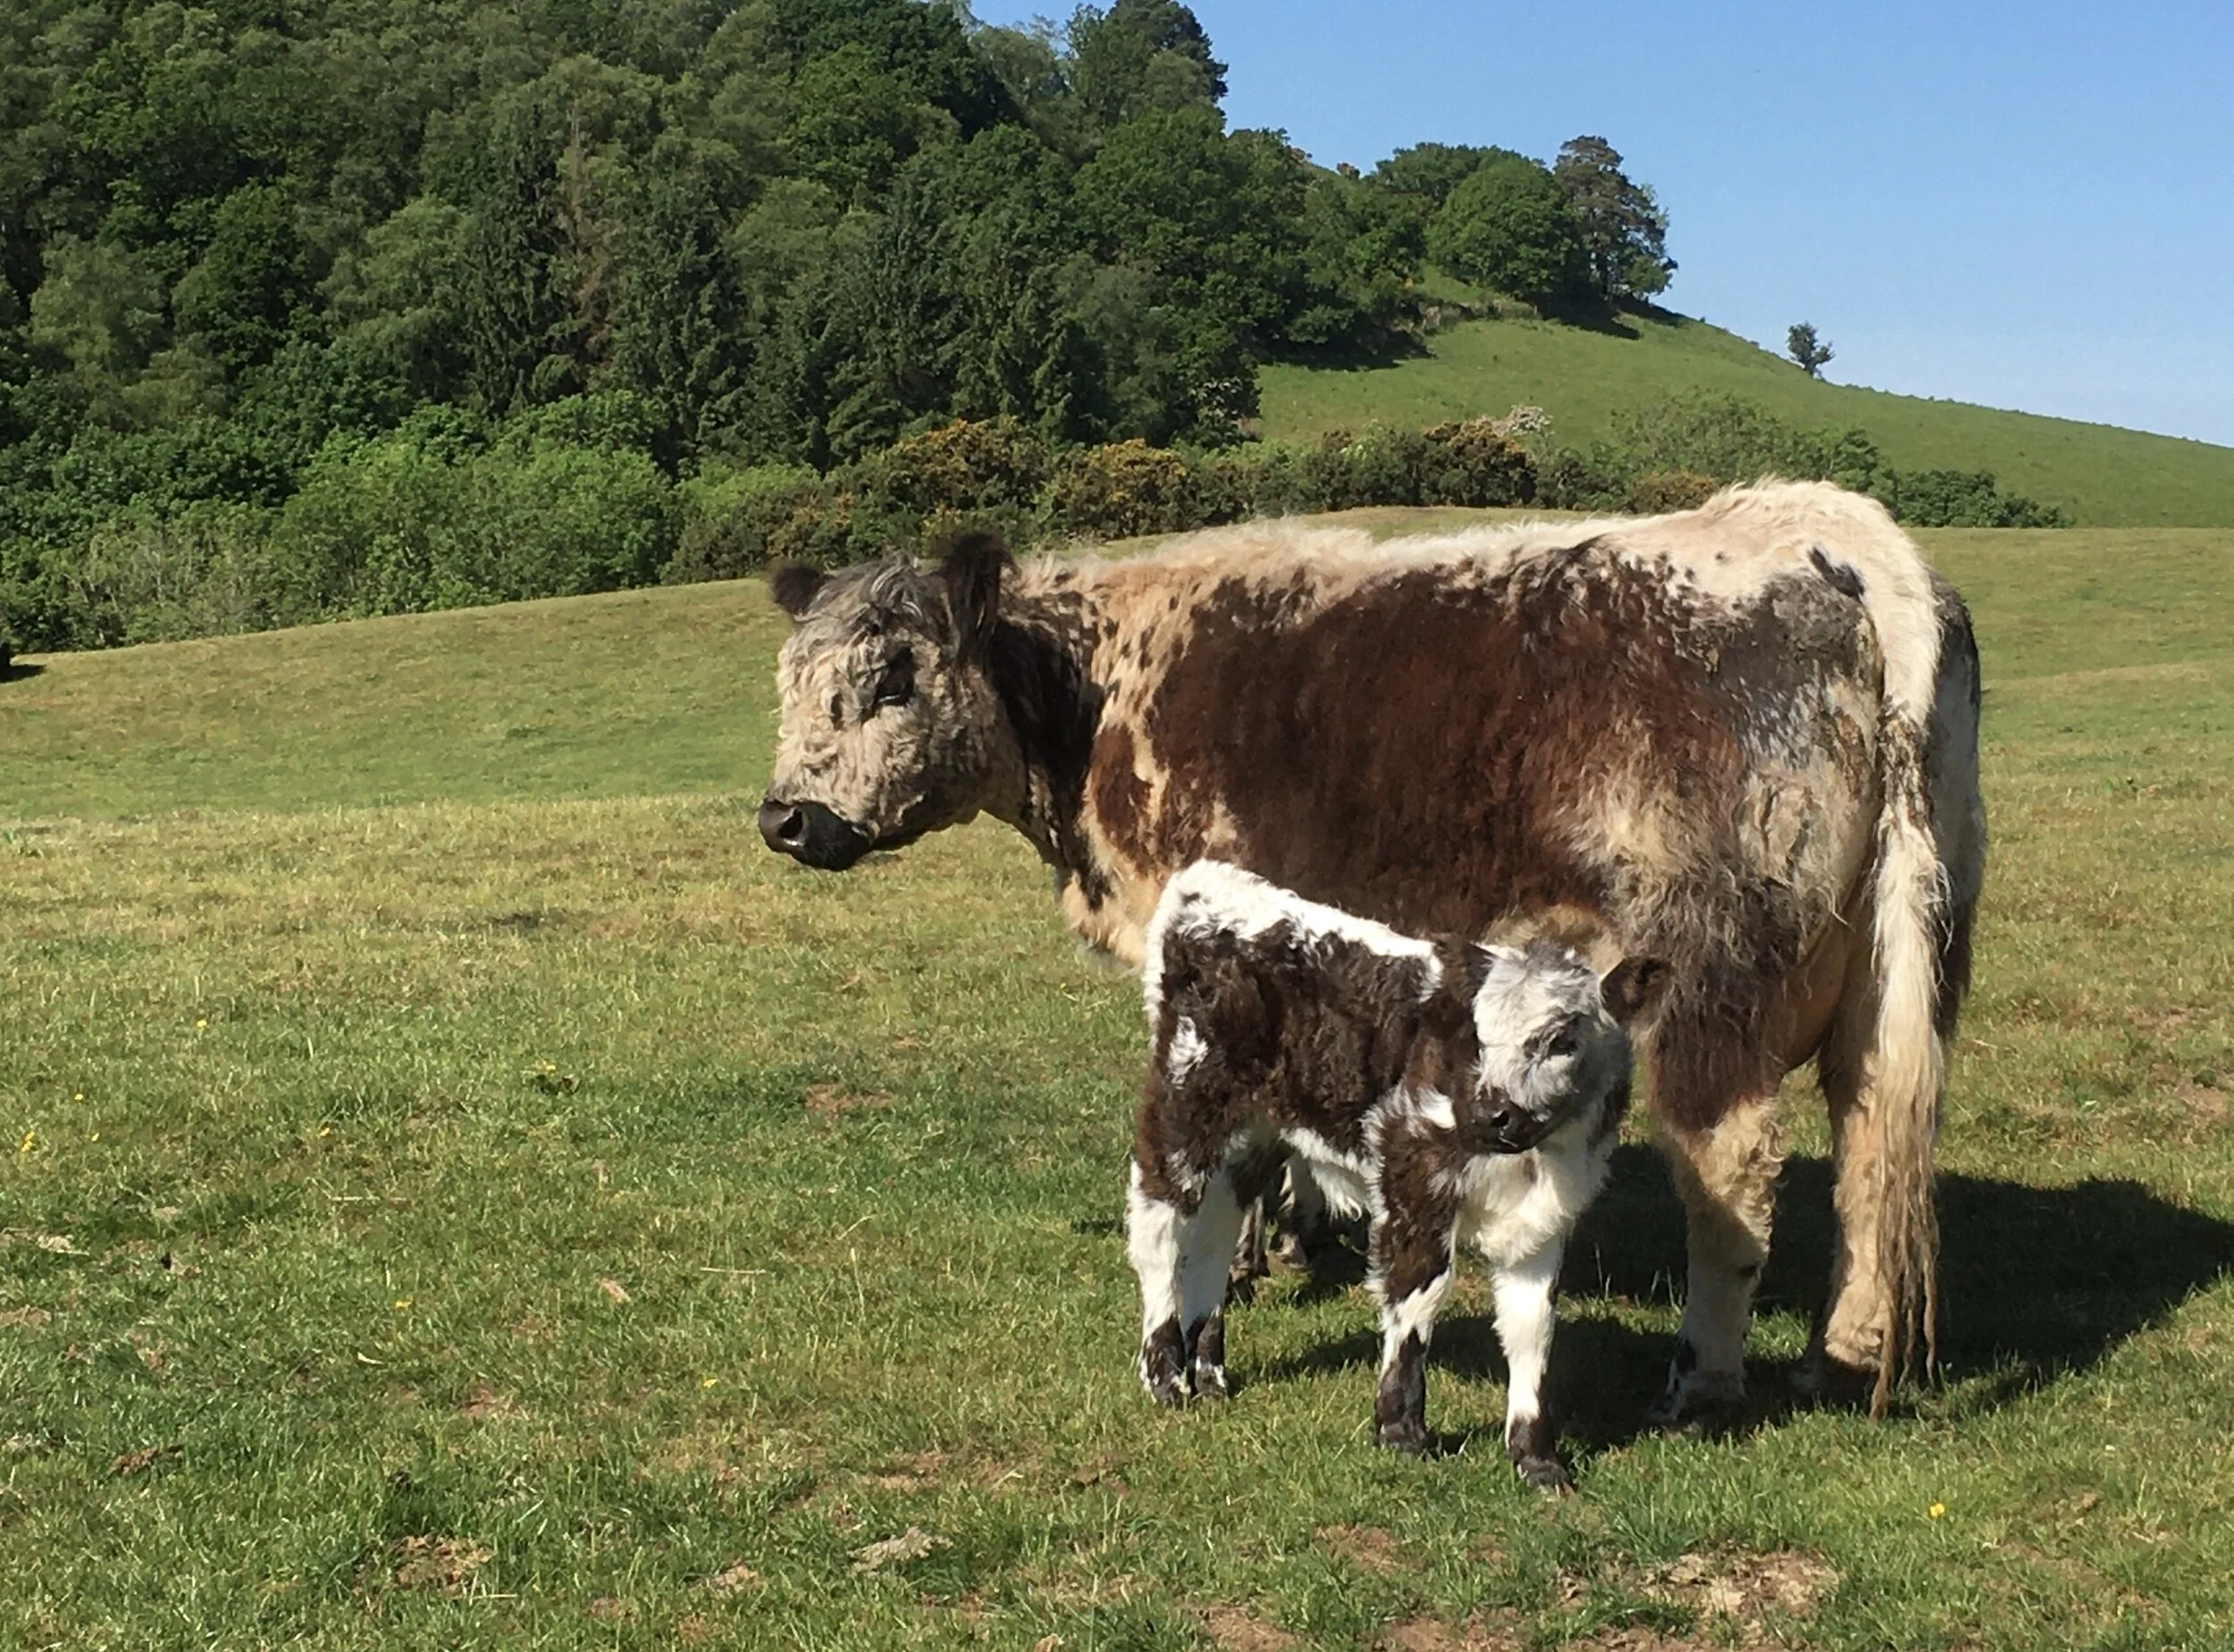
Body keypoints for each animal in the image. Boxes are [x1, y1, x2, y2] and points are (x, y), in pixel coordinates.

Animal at [1128, 859, 1665, 1489]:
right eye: (1479, 1034)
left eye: (1562, 1040)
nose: (1491, 1114)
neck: (1534, 1156)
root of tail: (1207, 885)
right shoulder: (1414, 1180)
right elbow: (1419, 1296)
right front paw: (1401, 1429)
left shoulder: (1544, 1221)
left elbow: (1532, 1328)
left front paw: (1536, 1458)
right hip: (1185, 1100)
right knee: (1160, 1227)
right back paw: (1165, 1373)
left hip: (1254, 1134)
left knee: (1214, 1237)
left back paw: (1209, 1371)